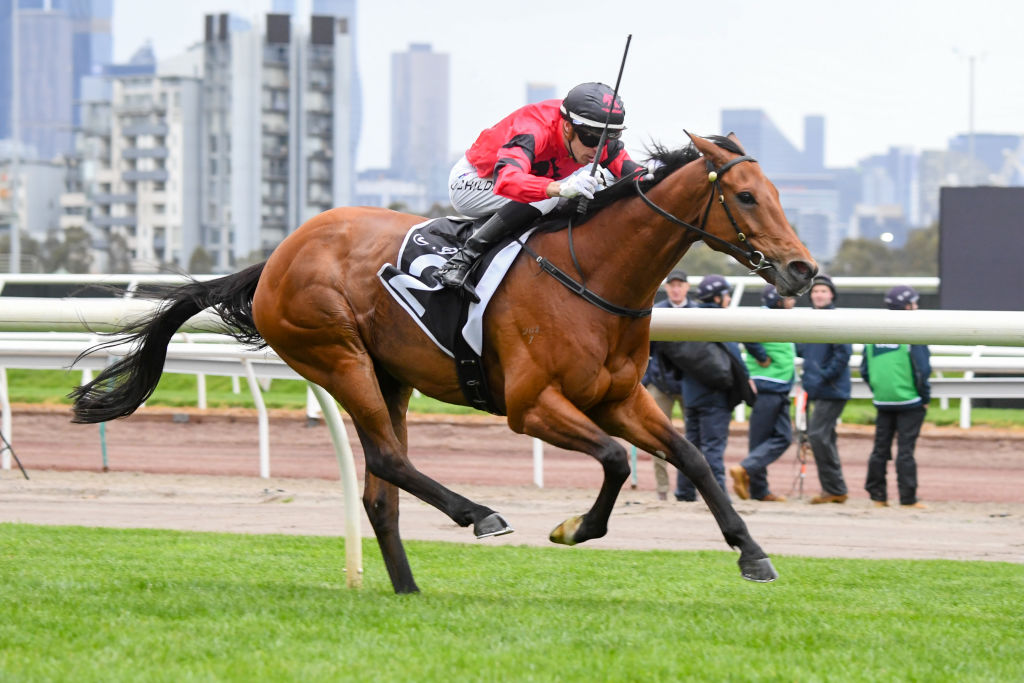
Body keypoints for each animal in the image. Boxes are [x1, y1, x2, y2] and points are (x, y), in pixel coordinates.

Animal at [70, 133, 817, 594]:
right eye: (745, 196)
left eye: (779, 192)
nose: (802, 269)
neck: (590, 275)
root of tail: (275, 258)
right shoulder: (531, 406)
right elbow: (614, 459)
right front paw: (575, 527)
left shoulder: (619, 397)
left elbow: (691, 457)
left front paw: (753, 553)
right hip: (337, 356)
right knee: (389, 461)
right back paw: (478, 513)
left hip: (390, 376)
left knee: (380, 489)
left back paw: (407, 588)